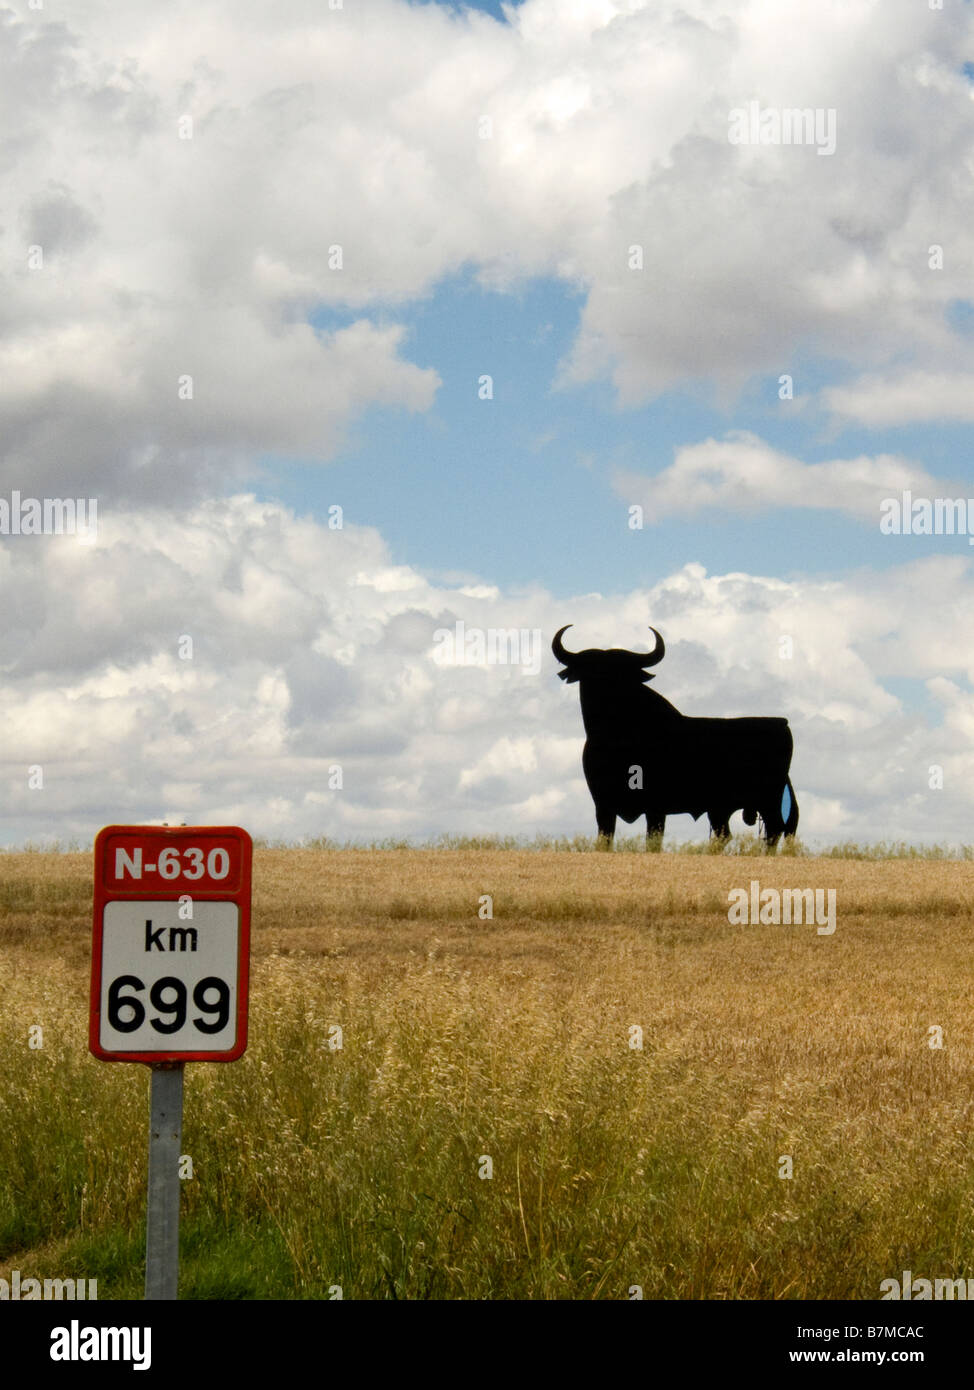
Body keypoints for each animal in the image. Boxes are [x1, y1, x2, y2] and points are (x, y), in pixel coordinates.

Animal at [553, 625, 799, 850]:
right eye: (589, 671)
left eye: (622, 672)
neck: (618, 738)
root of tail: (782, 722)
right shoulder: (603, 803)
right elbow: (605, 837)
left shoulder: (656, 804)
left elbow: (653, 838)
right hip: (725, 807)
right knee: (729, 833)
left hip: (768, 799)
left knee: (775, 828)